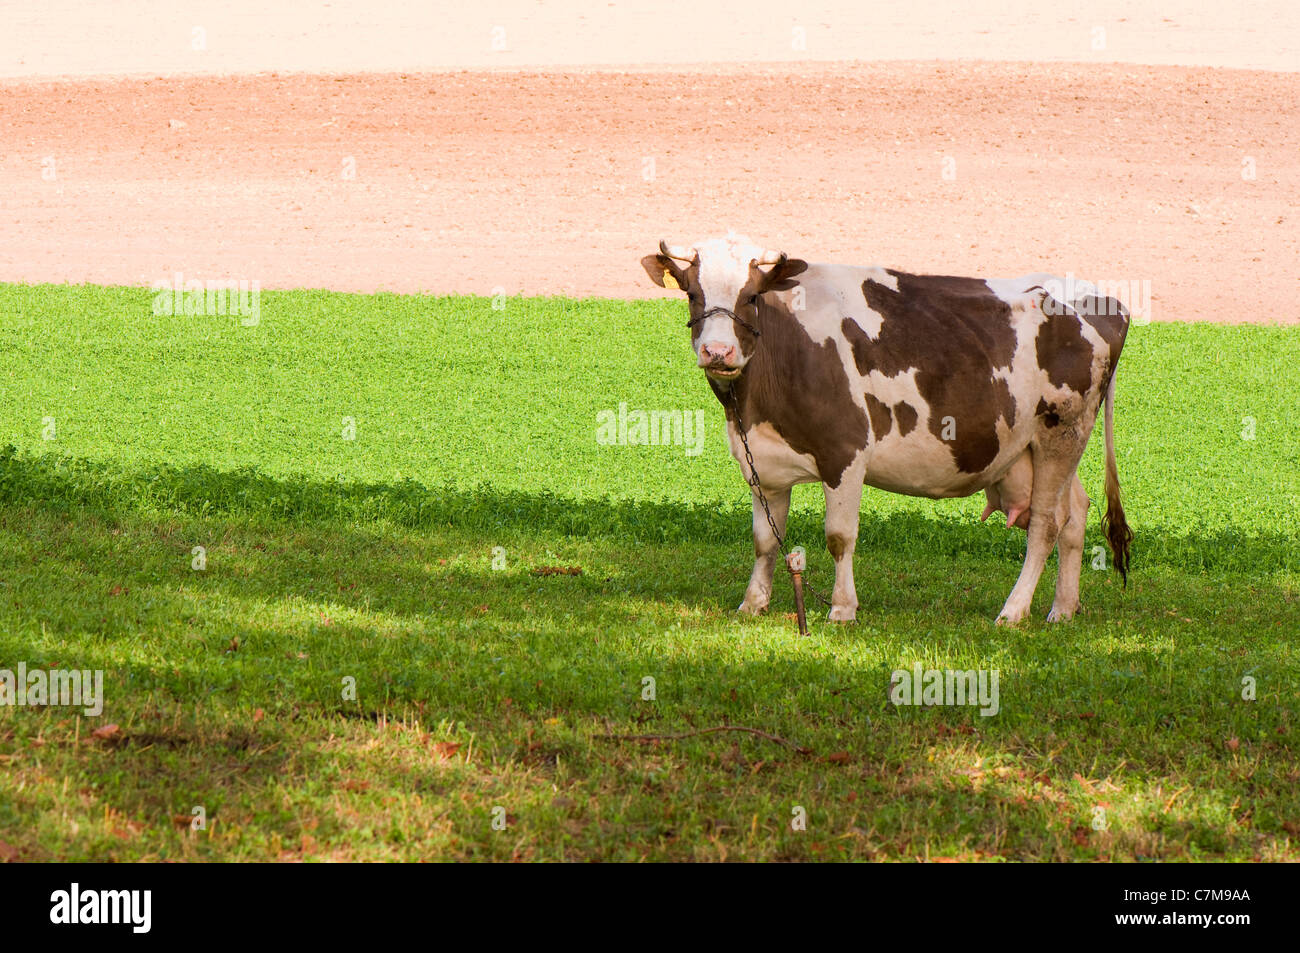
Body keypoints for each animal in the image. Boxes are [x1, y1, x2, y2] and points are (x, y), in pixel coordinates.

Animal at [640, 233, 1133, 624]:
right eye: (692, 294)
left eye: (752, 296)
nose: (717, 352)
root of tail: (1104, 301)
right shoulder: (761, 461)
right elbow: (765, 540)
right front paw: (753, 603)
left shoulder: (845, 450)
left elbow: (839, 536)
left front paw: (842, 609)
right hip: (1037, 446)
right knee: (1076, 513)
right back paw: (1062, 609)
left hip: (1061, 433)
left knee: (1047, 524)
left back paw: (1014, 611)